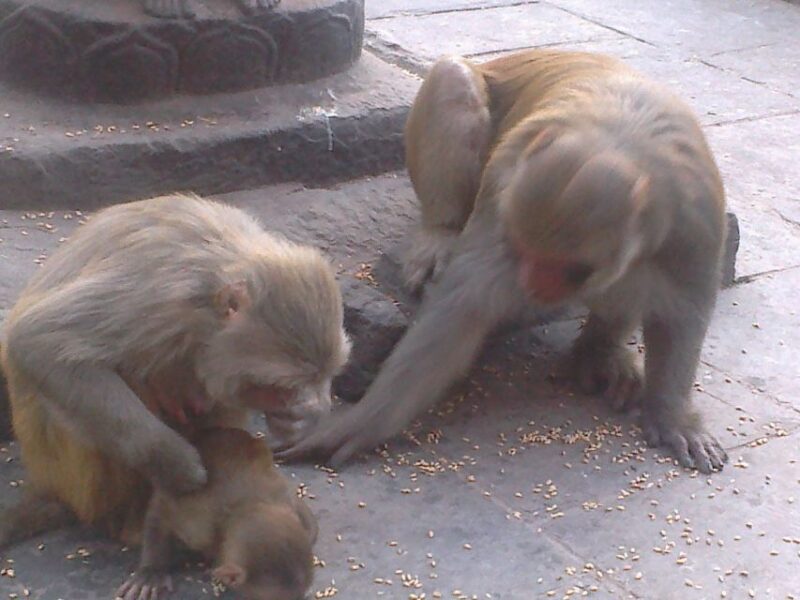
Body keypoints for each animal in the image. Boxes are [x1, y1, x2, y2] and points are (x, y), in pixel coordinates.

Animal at [0, 193, 350, 546]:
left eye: (301, 385)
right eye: (277, 386)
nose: (292, 403)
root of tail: (48, 485)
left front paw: (300, 418)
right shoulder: (159, 296)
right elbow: (40, 339)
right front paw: (177, 464)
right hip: (78, 483)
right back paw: (131, 518)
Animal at [279, 49, 729, 474]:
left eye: (571, 269)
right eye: (522, 251)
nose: (532, 286)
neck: (623, 140)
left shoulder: (698, 220)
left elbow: (682, 312)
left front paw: (672, 415)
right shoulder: (505, 187)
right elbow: (464, 307)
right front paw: (362, 423)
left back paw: (601, 351)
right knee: (453, 79)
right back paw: (441, 234)